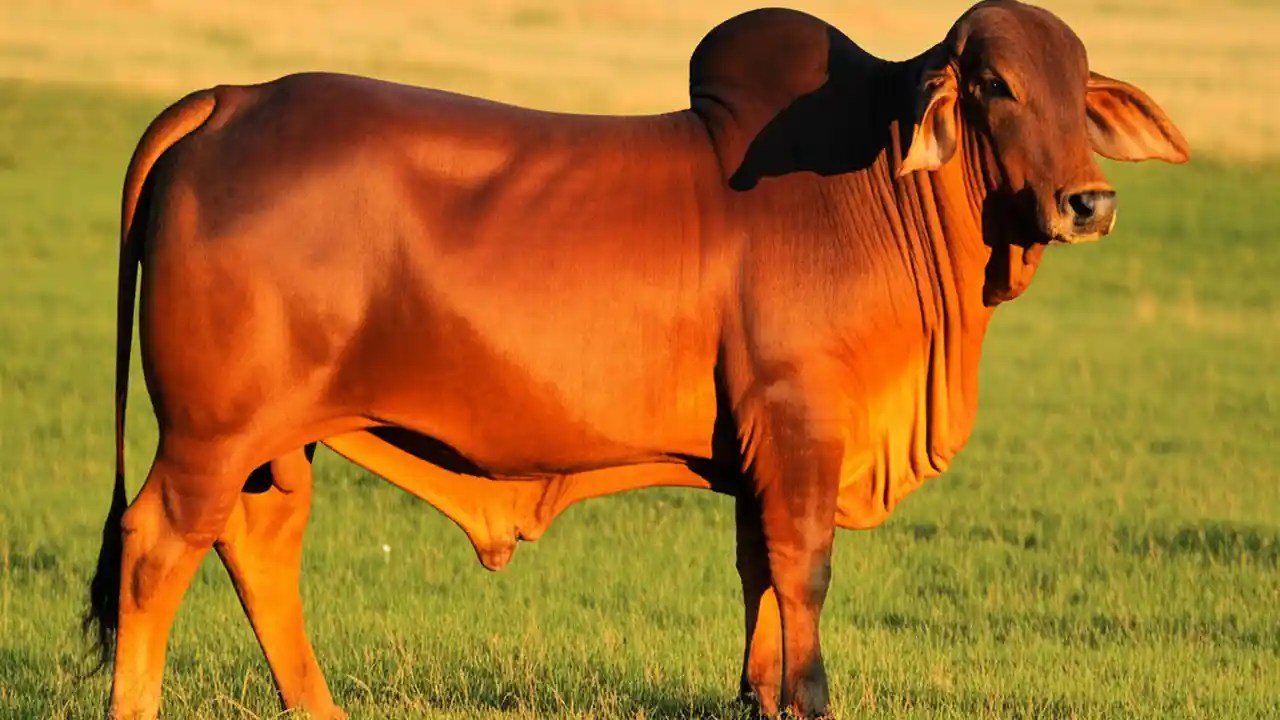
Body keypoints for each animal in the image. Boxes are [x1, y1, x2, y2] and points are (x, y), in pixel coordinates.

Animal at [84, 1, 1188, 717]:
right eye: (995, 86)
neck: (878, 190)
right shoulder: (800, 423)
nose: (1089, 200)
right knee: (155, 552)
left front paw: (758, 698)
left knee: (260, 546)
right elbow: (803, 573)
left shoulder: (759, 450)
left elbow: (758, 577)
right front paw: (808, 701)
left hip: (277, 441)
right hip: (212, 434)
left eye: (1078, 92)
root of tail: (230, 99)